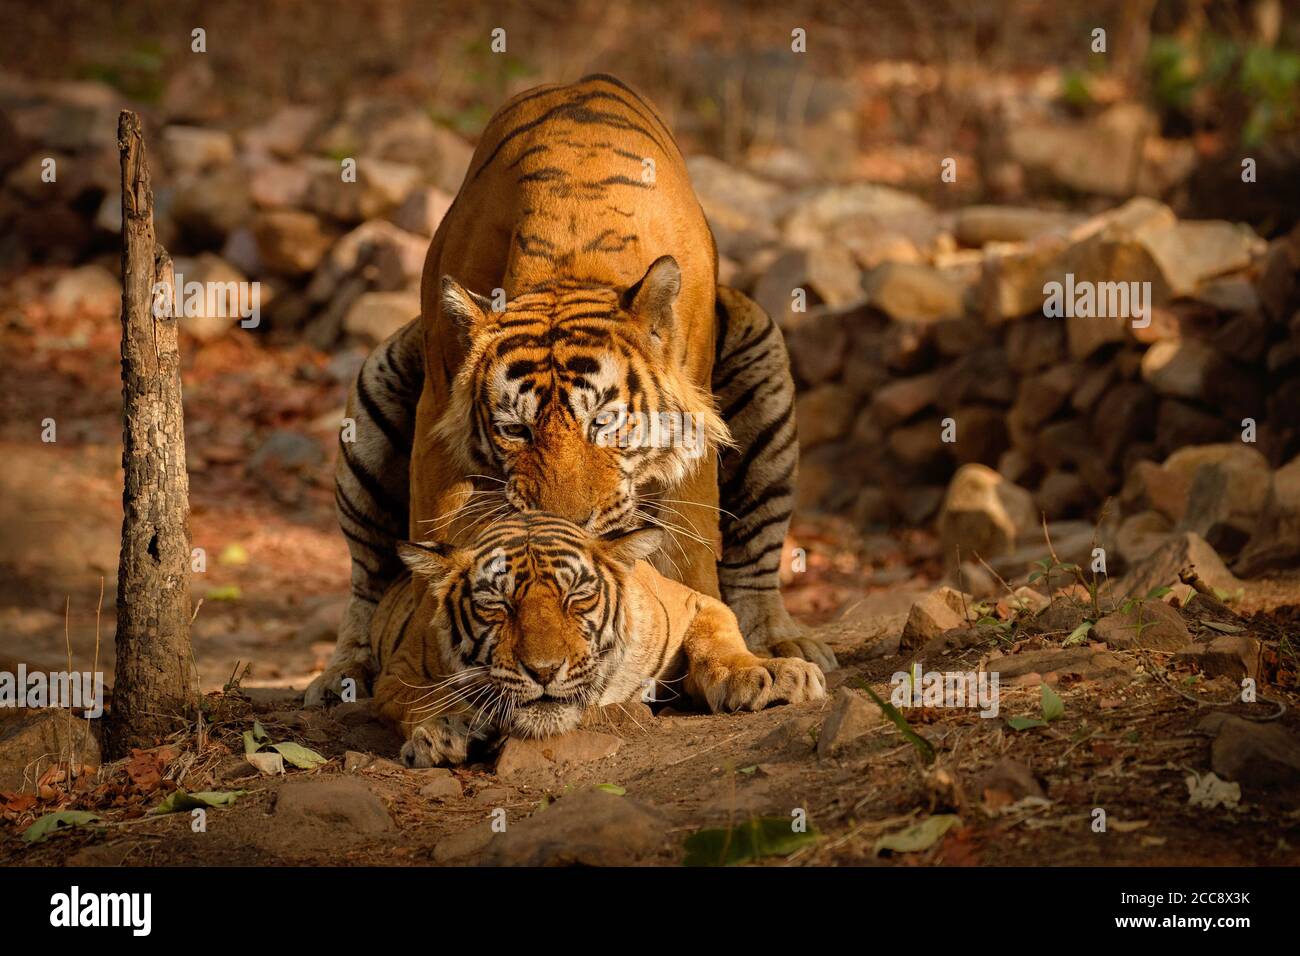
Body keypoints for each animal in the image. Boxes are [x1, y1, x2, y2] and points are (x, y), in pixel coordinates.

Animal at [307, 74, 834, 707]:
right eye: (515, 429)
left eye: (603, 423)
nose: (569, 529)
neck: (570, 252)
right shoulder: (436, 416)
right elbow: (434, 535)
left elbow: (695, 560)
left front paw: (739, 666)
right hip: (374, 391)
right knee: (366, 580)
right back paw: (341, 676)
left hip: (761, 354)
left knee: (755, 563)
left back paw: (783, 645)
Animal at [369, 499, 827, 767]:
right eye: (498, 604)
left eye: (576, 596)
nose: (543, 671)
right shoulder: (397, 674)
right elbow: (422, 699)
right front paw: (444, 730)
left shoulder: (693, 603)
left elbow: (718, 640)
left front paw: (768, 674)